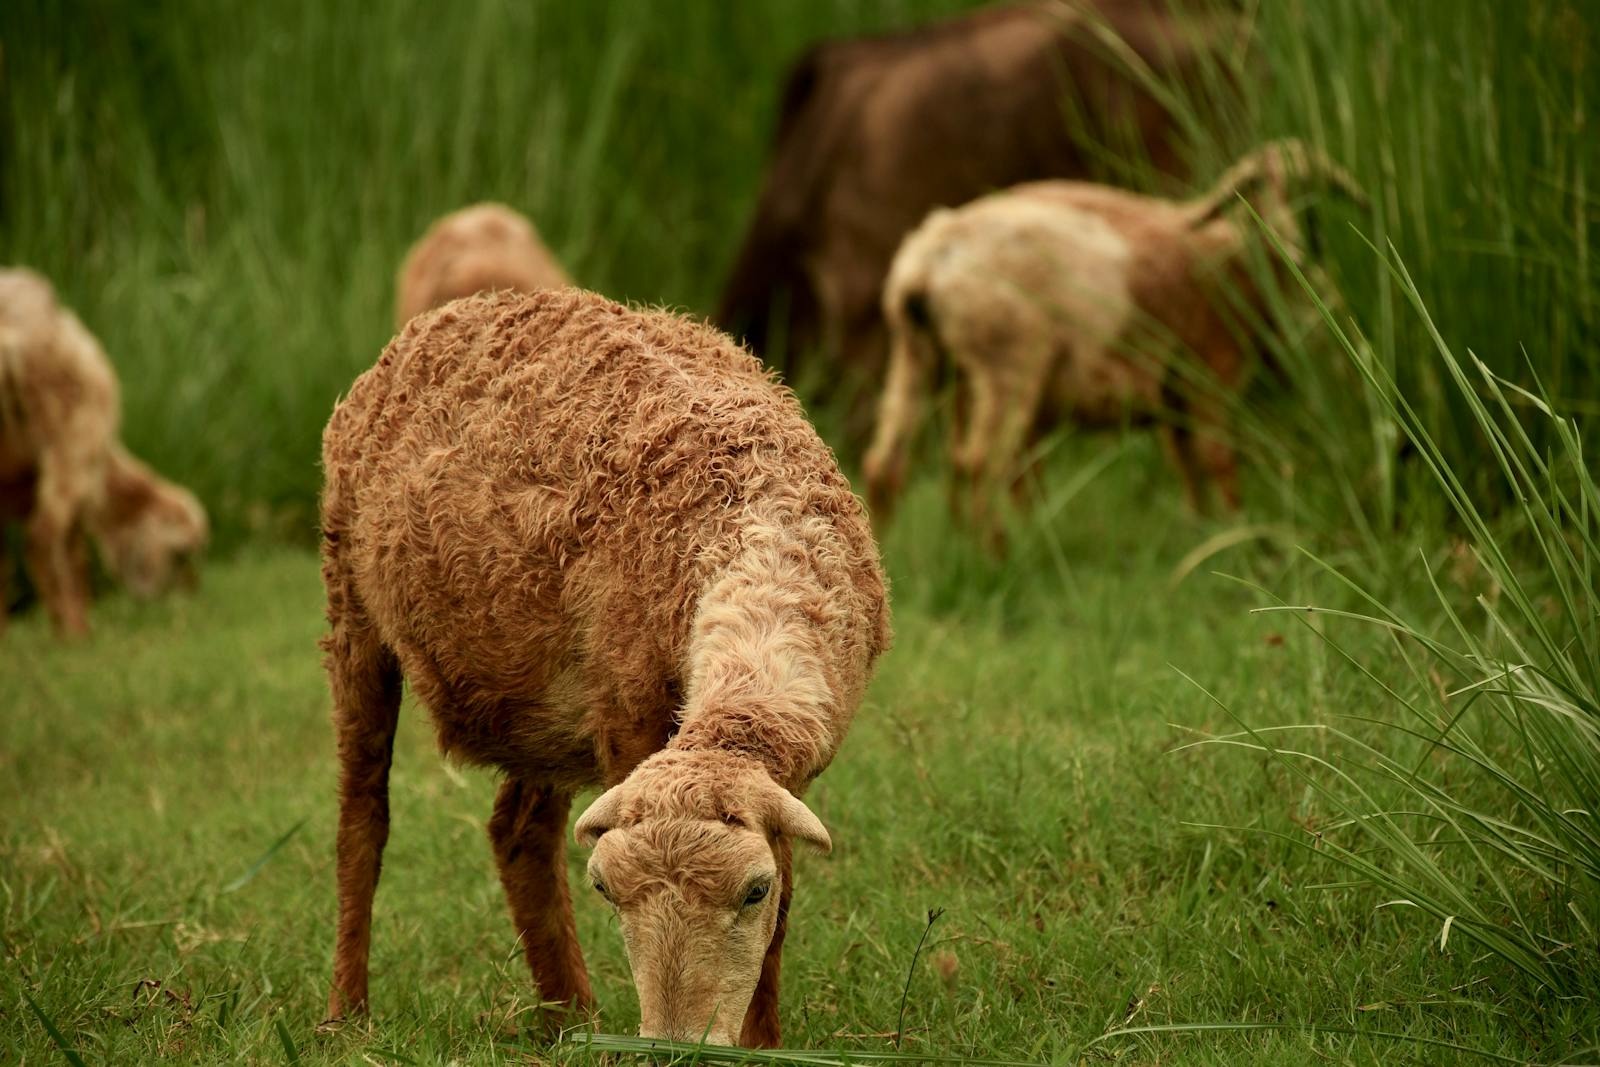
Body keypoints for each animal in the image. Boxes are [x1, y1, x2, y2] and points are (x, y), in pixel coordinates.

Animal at [0, 268, 207, 635]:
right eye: (181, 554)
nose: (190, 594)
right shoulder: (86, 461)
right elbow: (75, 552)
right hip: (70, 440)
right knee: (43, 537)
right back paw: (71, 632)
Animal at [319, 287, 890, 1047]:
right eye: (604, 889)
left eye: (752, 891)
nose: (678, 1049)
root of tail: (454, 311)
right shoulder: (628, 716)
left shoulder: (774, 781)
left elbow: (786, 905)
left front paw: (763, 1045)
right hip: (352, 606)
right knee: (363, 819)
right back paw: (346, 1013)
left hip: (542, 700)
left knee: (518, 831)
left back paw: (570, 1020)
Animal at [862, 139, 1363, 546]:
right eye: (1263, 189)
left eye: (1314, 196)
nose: (1297, 244)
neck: (1239, 258)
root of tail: (931, 257)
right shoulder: (1212, 368)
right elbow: (1218, 457)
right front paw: (1238, 531)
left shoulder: (1174, 387)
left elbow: (1186, 461)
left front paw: (1200, 529)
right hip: (1008, 360)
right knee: (983, 463)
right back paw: (998, 555)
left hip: (920, 356)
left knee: (889, 463)